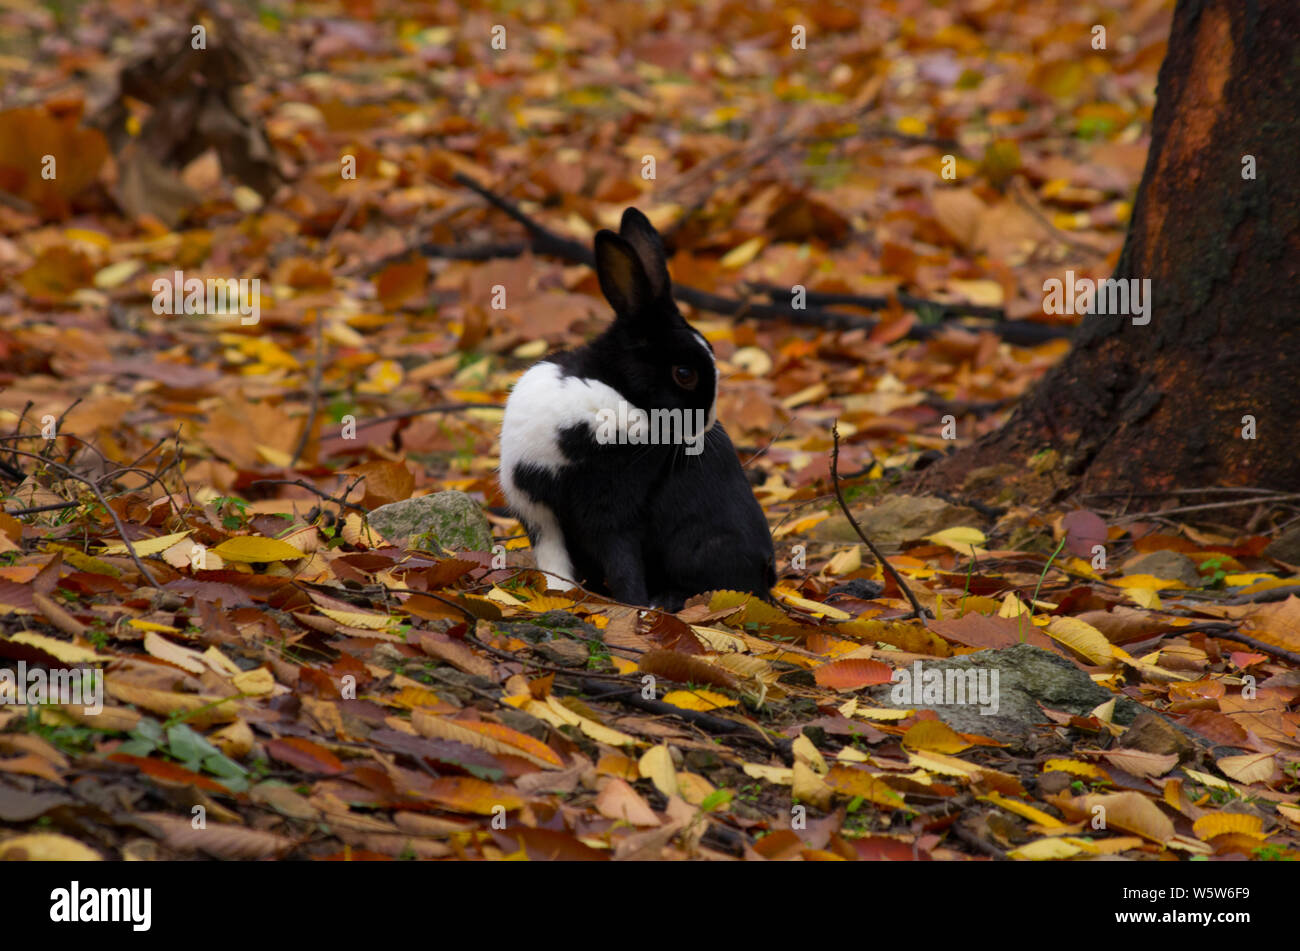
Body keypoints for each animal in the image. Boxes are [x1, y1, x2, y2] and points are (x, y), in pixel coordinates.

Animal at [499, 208, 775, 611]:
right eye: (684, 374)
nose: (706, 426)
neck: (612, 387)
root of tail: (768, 572)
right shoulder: (536, 507)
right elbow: (555, 560)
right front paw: (559, 596)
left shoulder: (613, 505)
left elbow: (622, 558)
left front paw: (634, 605)